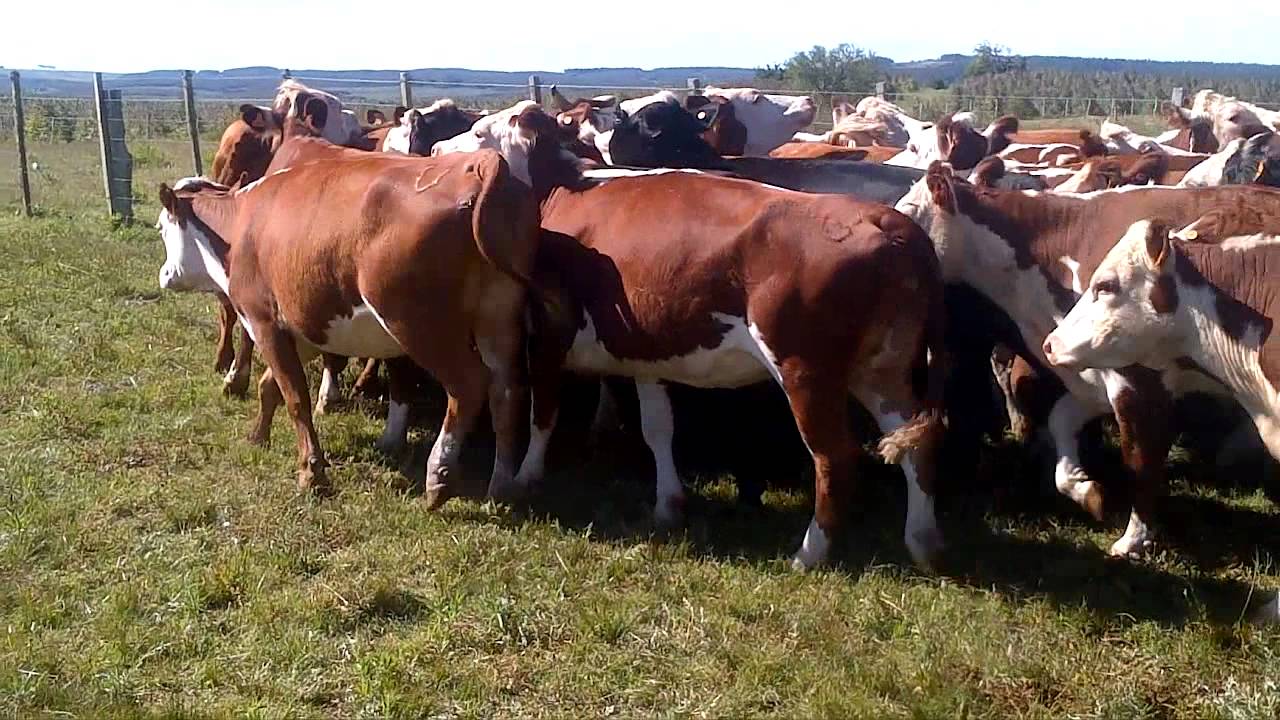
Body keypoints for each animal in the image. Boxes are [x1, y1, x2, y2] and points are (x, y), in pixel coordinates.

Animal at [156, 104, 539, 503]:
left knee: (469, 384)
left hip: (419, 325)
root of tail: (478, 165)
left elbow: (295, 397)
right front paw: (258, 437)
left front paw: (312, 471)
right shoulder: (303, 328)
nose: (164, 275)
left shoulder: (264, 322)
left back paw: (439, 475)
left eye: (161, 228)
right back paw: (501, 483)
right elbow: (270, 386)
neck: (244, 221)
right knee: (506, 391)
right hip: (498, 321)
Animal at [436, 100, 947, 570]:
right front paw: (668, 504)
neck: (560, 191)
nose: (437, 149)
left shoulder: (548, 330)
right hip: (882, 367)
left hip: (806, 368)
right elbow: (657, 427)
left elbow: (544, 411)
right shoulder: (643, 347)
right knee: (914, 442)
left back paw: (808, 554)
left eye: (479, 132)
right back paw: (923, 543)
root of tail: (884, 220)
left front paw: (526, 478)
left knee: (834, 457)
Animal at [896, 166, 1280, 557]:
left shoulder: (1138, 382)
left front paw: (1135, 538)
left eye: (909, 209)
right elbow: (1060, 424)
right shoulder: (1090, 378)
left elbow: (1141, 461)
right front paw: (1086, 490)